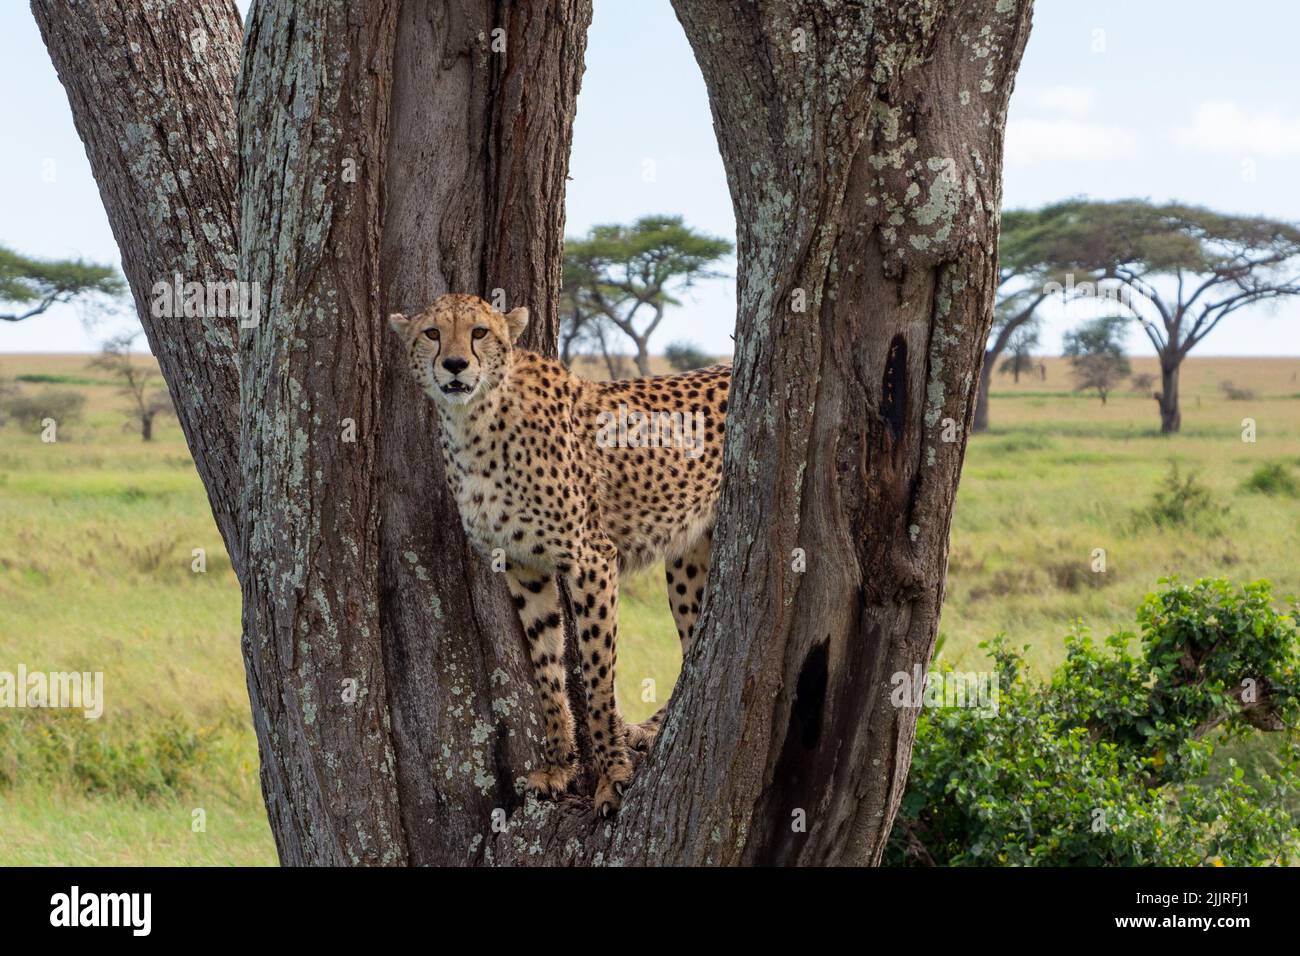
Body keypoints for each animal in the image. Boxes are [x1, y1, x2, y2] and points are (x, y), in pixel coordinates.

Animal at [389, 293, 728, 816]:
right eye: (432, 333)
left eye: (480, 332)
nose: (455, 364)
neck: (474, 419)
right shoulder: (523, 565)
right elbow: (546, 667)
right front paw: (556, 766)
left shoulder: (591, 558)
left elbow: (597, 674)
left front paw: (611, 776)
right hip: (689, 560)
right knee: (695, 644)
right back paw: (655, 728)